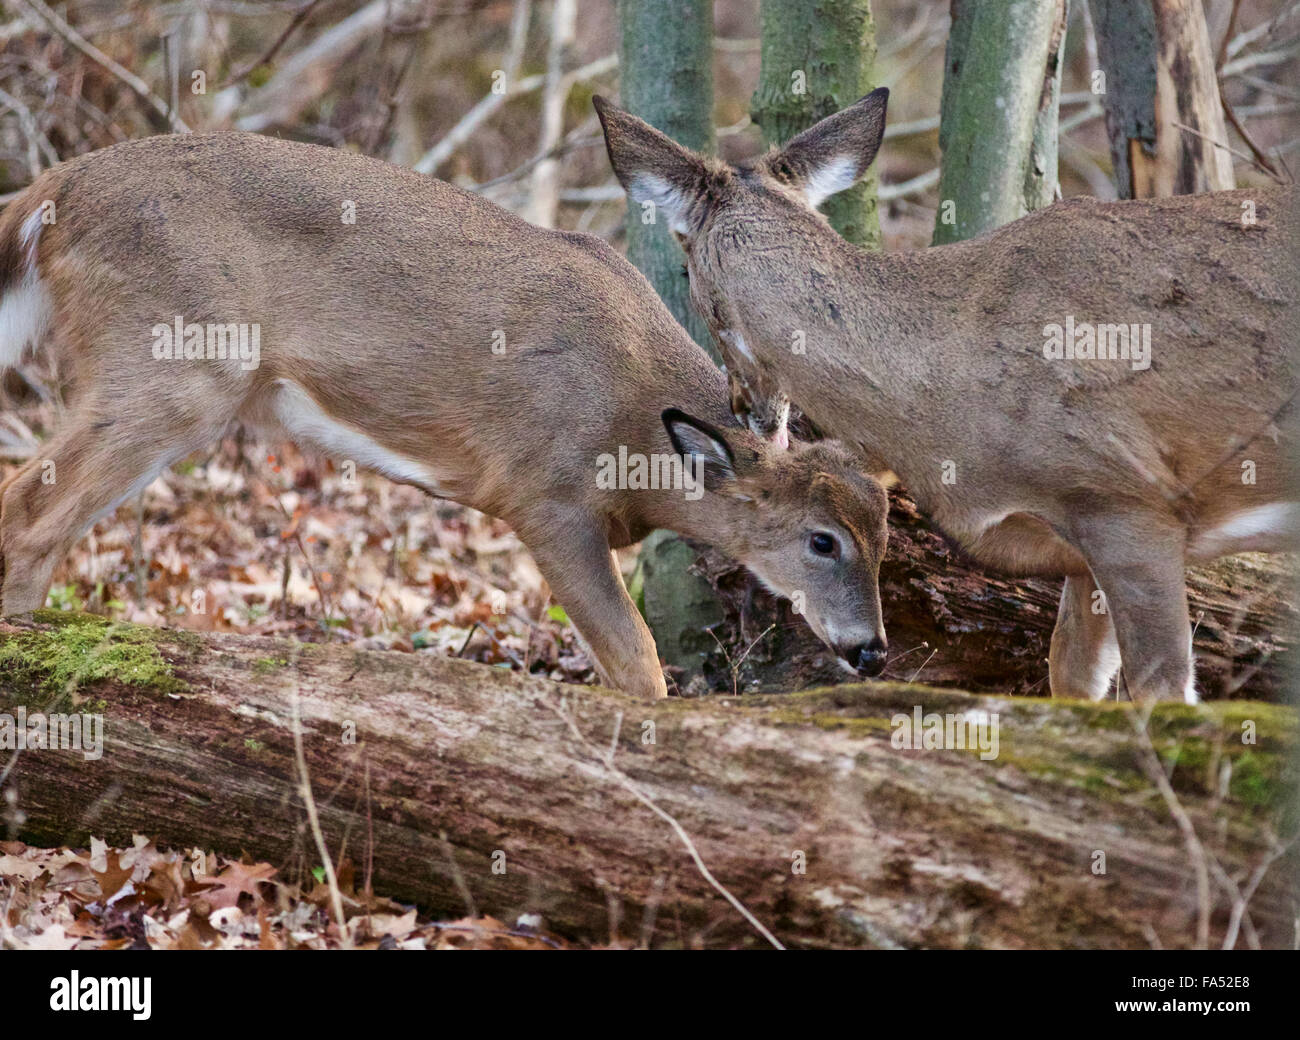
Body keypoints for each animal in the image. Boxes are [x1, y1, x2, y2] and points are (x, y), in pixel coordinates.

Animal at [0, 131, 894, 700]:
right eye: (822, 540)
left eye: (886, 537)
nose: (874, 651)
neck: (638, 432)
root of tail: (51, 191)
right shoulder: (544, 495)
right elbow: (639, 664)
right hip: (173, 364)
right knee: (30, 512)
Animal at [595, 88, 1298, 704]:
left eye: (685, 271)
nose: (745, 409)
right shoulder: (1082, 542)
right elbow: (1074, 678)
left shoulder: (1126, 496)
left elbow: (1162, 690)